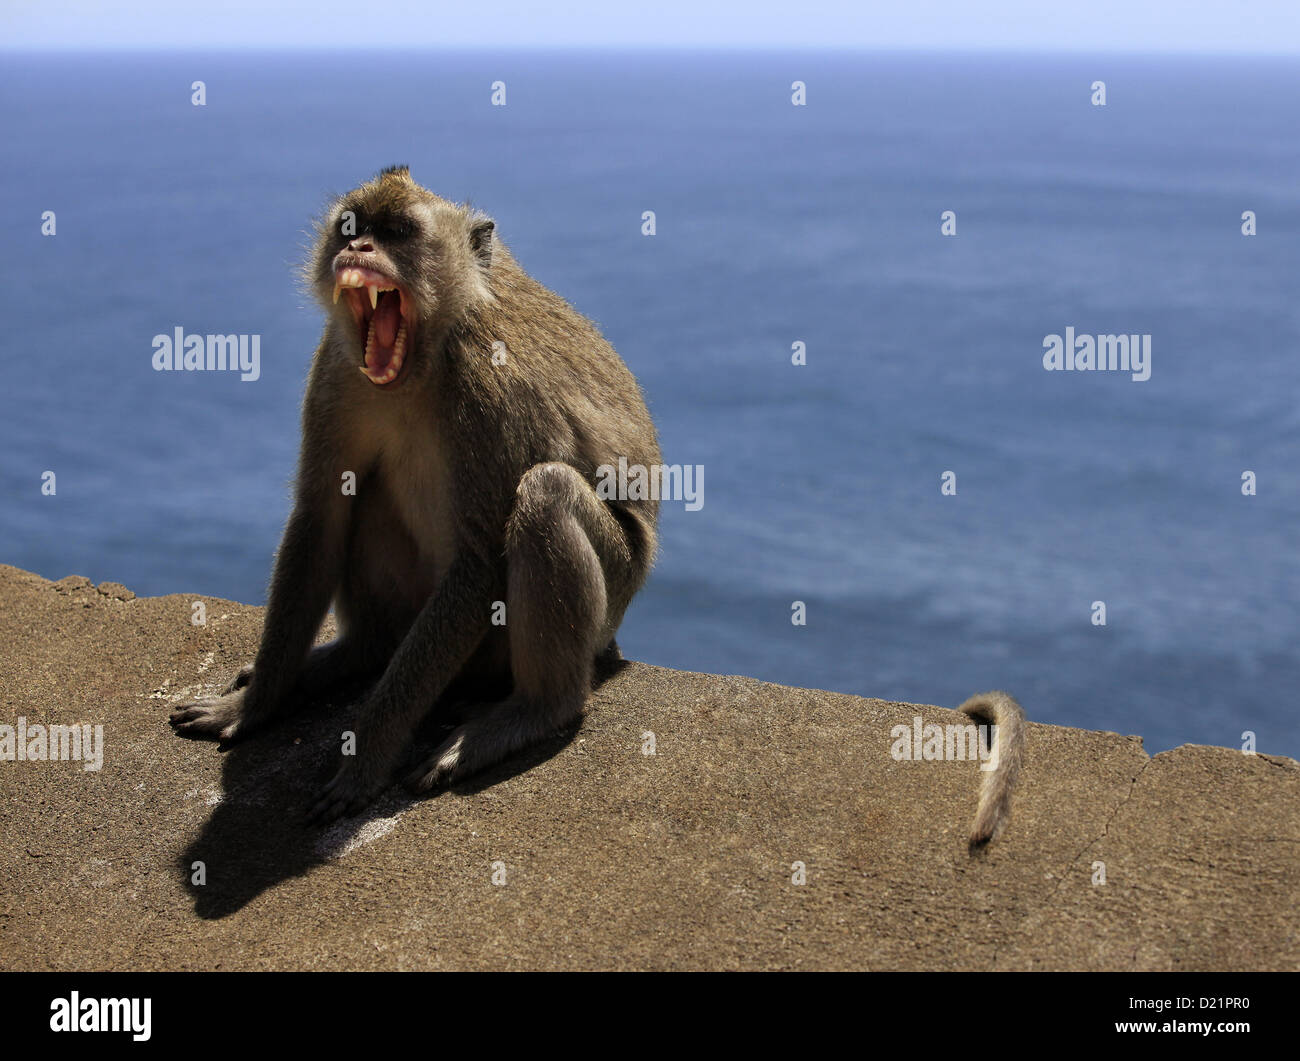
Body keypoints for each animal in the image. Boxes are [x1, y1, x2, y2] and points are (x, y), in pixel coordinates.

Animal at [170, 165, 662, 823]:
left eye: (398, 232)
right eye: (351, 227)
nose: (356, 249)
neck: (426, 353)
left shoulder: (487, 386)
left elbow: (478, 562)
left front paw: (366, 758)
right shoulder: (337, 363)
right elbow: (321, 513)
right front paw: (257, 706)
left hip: (606, 595)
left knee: (547, 494)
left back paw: (534, 711)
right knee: (366, 493)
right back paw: (358, 654)